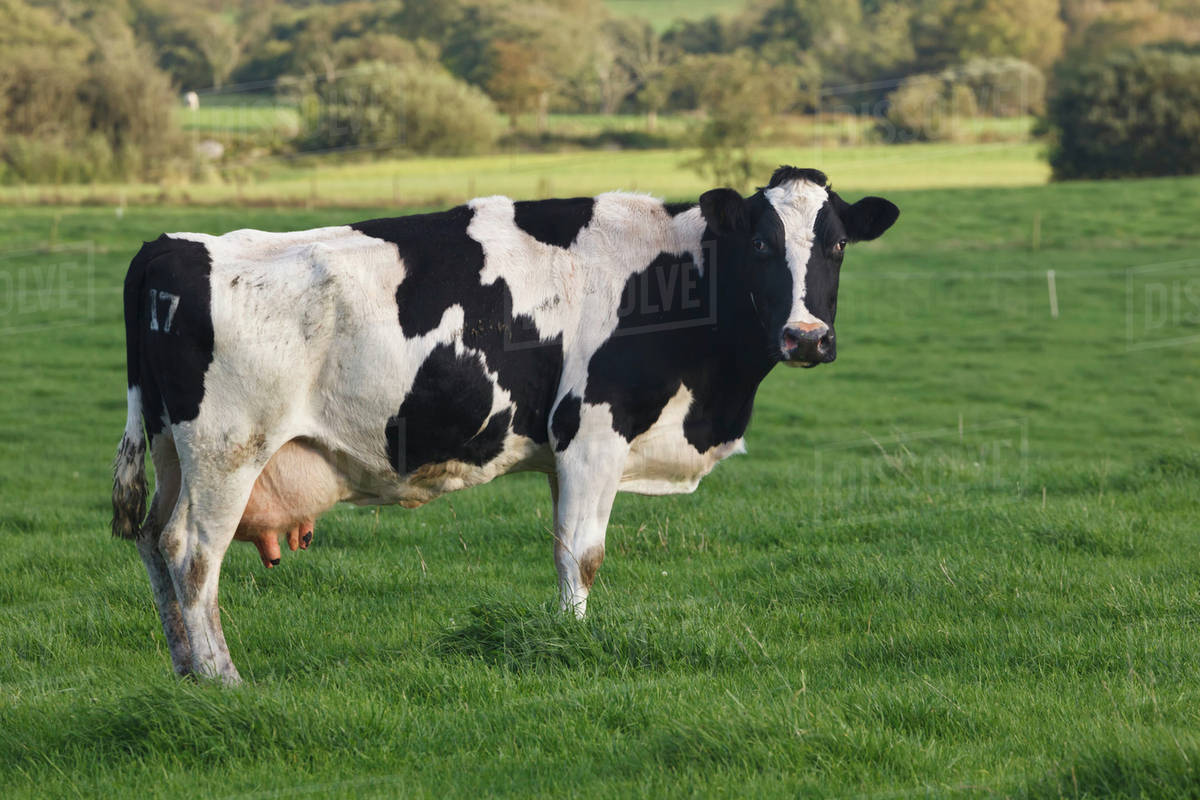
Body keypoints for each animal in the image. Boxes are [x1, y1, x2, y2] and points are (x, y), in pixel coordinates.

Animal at [111, 167, 898, 683]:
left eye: (836, 245)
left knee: (152, 542)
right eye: (763, 245)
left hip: (174, 446)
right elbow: (583, 554)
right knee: (192, 554)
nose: (805, 337)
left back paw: (185, 671)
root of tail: (172, 245)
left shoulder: (565, 451)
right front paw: (576, 643)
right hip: (228, 449)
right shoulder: (592, 433)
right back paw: (222, 679)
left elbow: (561, 547)